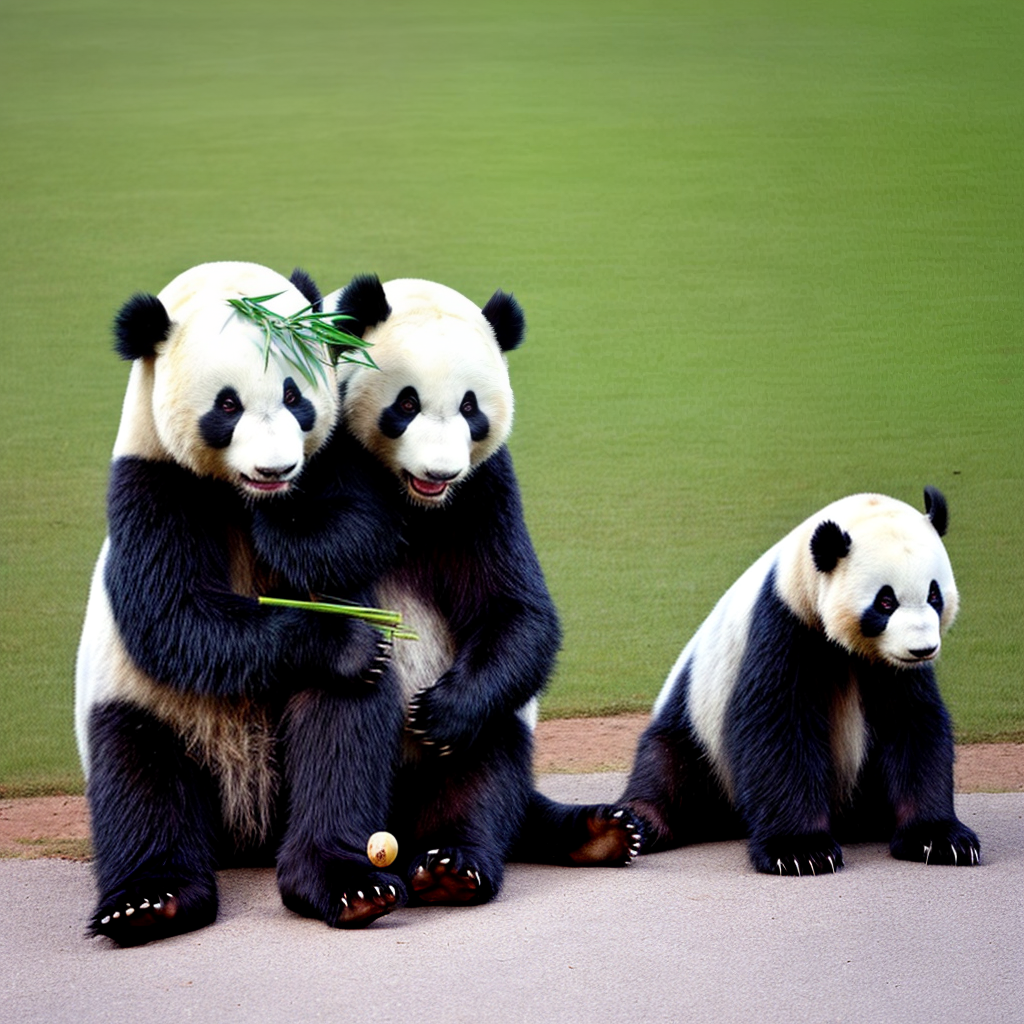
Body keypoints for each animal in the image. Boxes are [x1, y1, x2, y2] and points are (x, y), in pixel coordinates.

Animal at [75, 261, 408, 946]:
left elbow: (359, 528)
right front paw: (343, 639)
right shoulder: (151, 482)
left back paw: (345, 882)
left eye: (295, 396)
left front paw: (283, 526)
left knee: (341, 735)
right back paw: (150, 902)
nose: (275, 469)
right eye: (227, 404)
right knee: (137, 779)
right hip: (143, 704)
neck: (236, 493)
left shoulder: (335, 455)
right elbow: (173, 617)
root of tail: (245, 827)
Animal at [250, 274, 643, 908]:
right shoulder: (319, 442)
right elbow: (316, 544)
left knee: (488, 762)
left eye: (470, 407)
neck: (417, 500)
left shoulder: (484, 488)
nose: (439, 472)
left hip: (484, 726)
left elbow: (512, 606)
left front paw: (439, 715)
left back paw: (481, 857)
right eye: (405, 404)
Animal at [621, 488, 980, 875]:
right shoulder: (784, 623)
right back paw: (635, 826)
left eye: (934, 594)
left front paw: (940, 840)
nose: (922, 649)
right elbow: (778, 725)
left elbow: (911, 721)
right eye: (886, 601)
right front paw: (801, 851)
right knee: (667, 770)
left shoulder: (889, 667)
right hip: (698, 725)